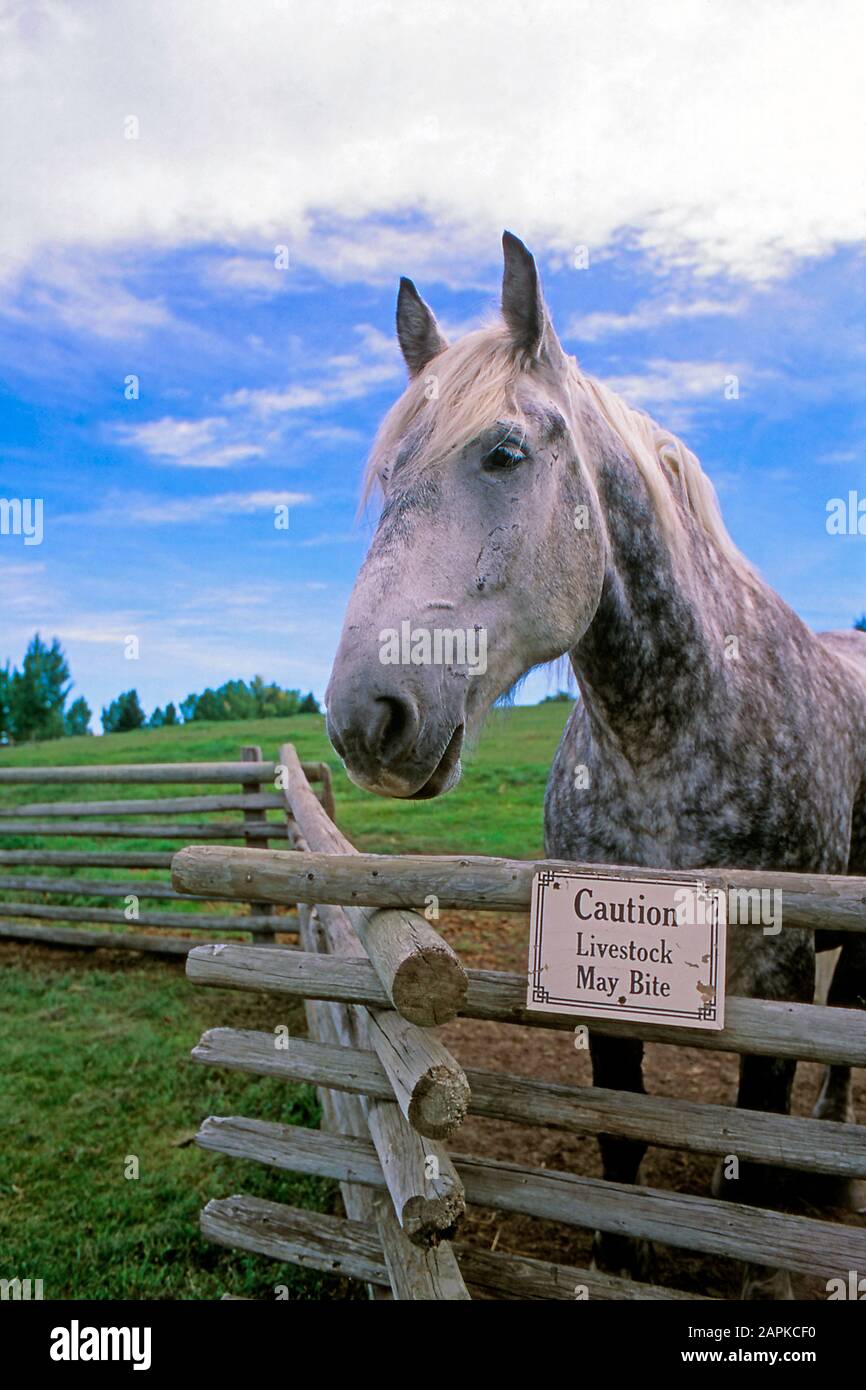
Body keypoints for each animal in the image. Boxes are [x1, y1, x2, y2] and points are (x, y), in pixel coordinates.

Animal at [324, 231, 866, 1298]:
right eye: (389, 476)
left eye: (503, 453)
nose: (364, 718)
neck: (672, 739)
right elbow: (619, 1124)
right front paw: (621, 1254)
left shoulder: (778, 963)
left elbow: (759, 1134)